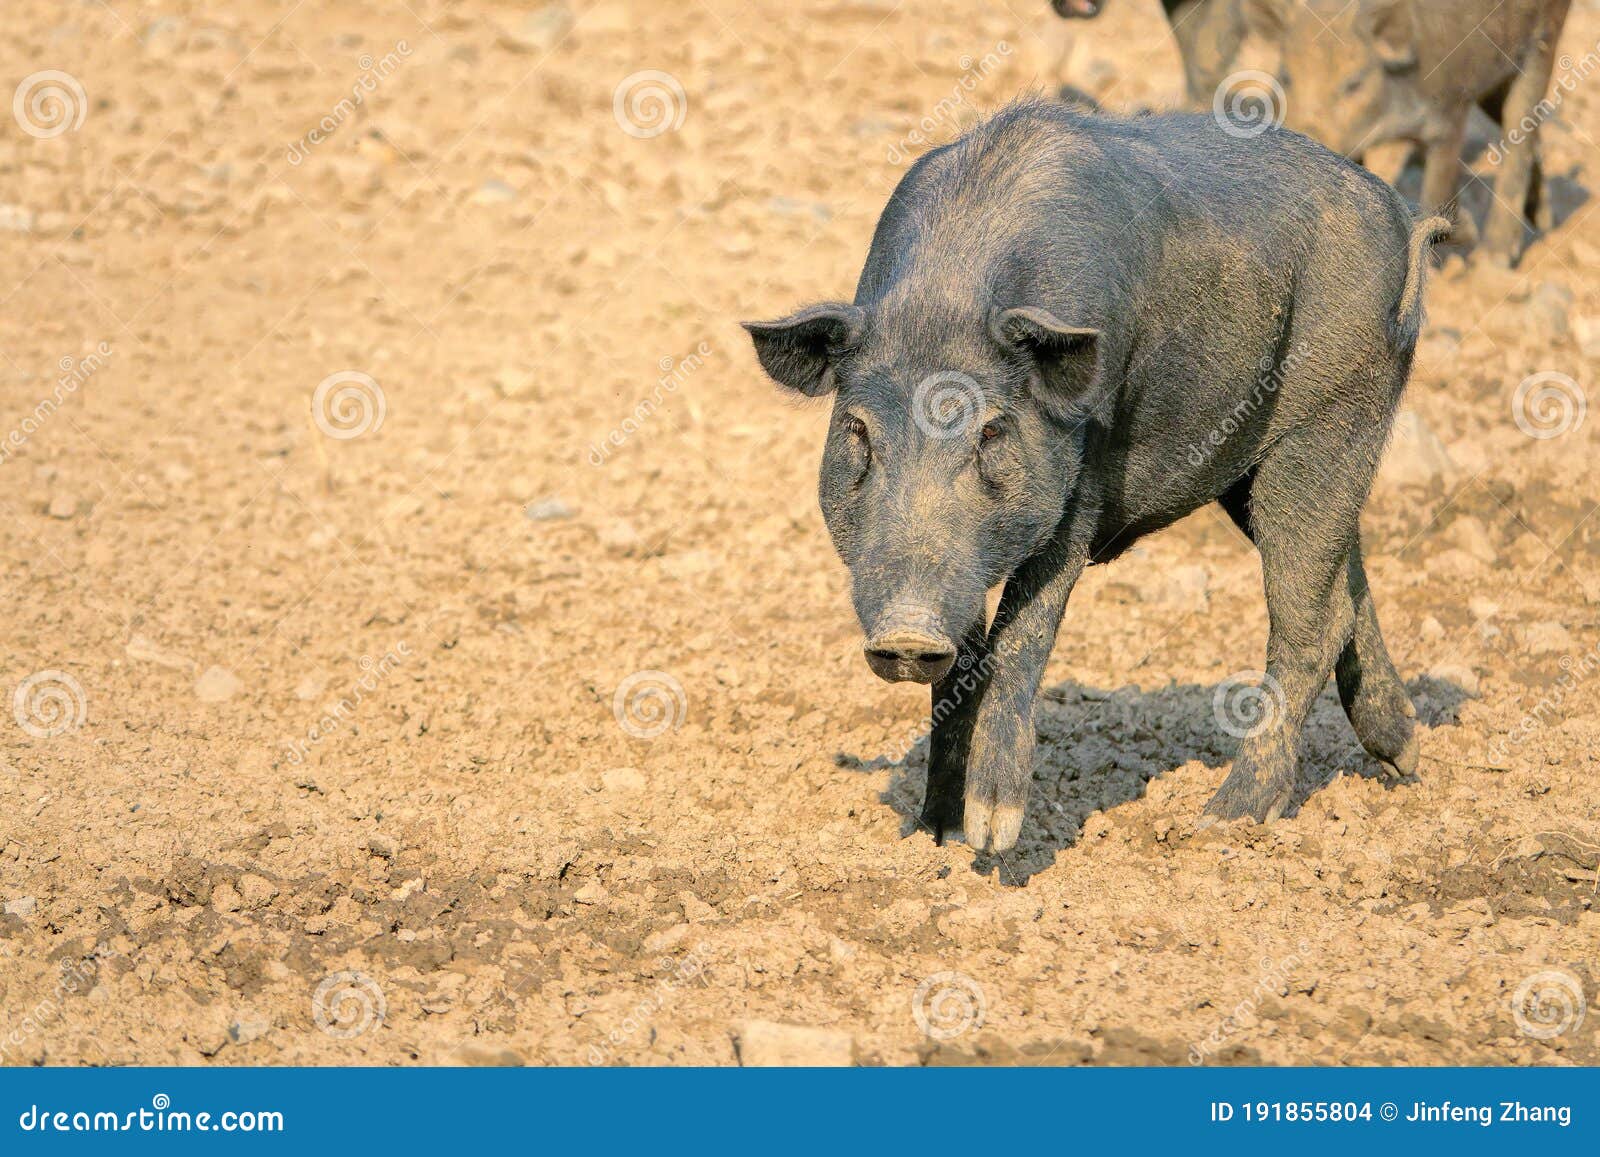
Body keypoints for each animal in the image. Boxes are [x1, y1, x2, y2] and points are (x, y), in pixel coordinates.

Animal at [745, 100, 1446, 853]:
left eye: (992, 431)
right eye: (857, 430)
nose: (907, 633)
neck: (950, 287)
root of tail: (1400, 218)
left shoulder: (1079, 481)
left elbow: (1019, 639)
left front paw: (992, 839)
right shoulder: (961, 561)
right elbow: (961, 667)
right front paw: (935, 835)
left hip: (1333, 413)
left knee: (1306, 620)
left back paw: (1220, 820)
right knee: (1345, 583)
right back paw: (1405, 759)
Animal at [1245, 0, 1572, 265]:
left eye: (1354, 83)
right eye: (1287, 76)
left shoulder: (1451, 111)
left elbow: (1436, 188)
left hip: (1544, 39)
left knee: (1520, 128)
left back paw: (1494, 258)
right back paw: (1541, 222)